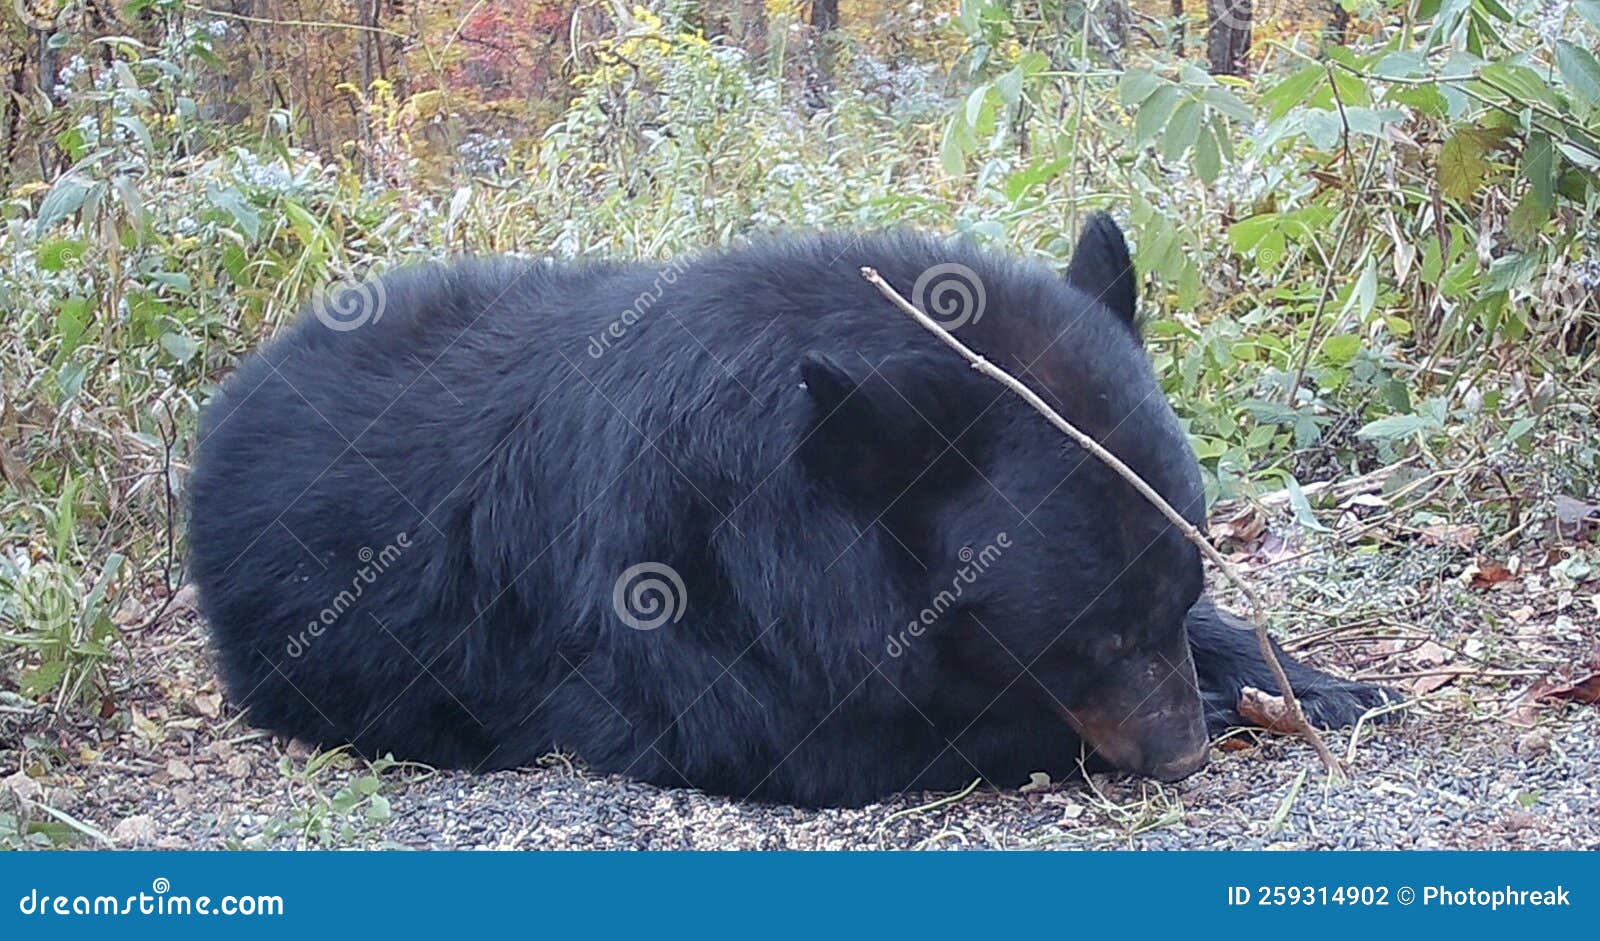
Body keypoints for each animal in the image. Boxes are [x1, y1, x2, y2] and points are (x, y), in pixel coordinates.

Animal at [187, 215, 1390, 808]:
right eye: (1088, 634)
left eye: (1178, 587)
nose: (1179, 755)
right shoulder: (685, 597)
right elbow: (828, 733)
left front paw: (1312, 678)